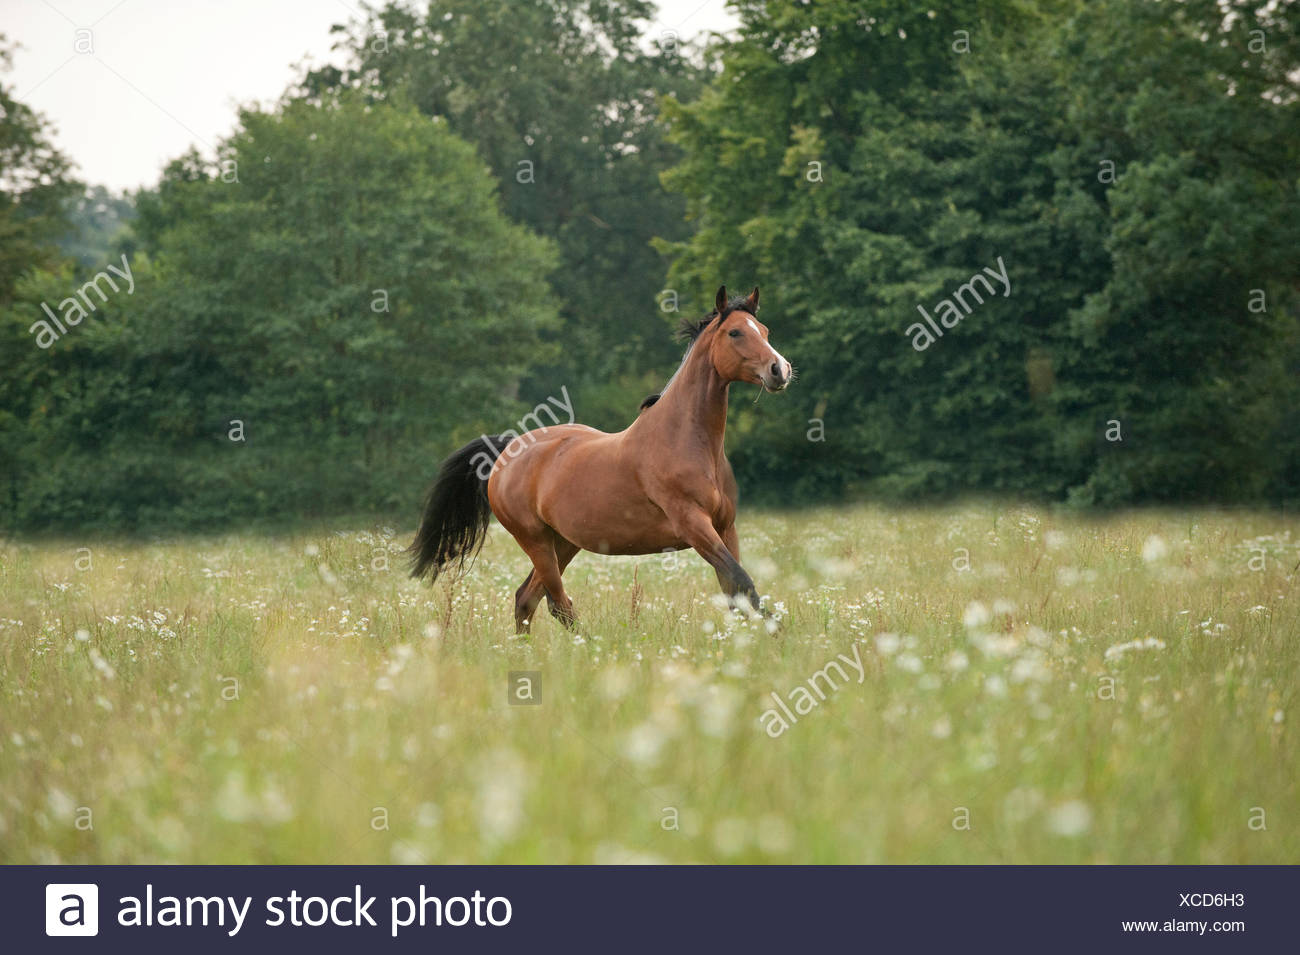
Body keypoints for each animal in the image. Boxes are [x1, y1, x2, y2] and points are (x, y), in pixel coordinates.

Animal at [408, 284, 793, 634]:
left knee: (527, 599)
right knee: (557, 603)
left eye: (765, 331)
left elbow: (734, 592)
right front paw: (775, 637)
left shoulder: (725, 528)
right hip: (535, 541)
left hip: (563, 542)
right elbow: (743, 583)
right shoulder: (694, 525)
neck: (686, 441)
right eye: (735, 332)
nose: (780, 370)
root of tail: (507, 452)